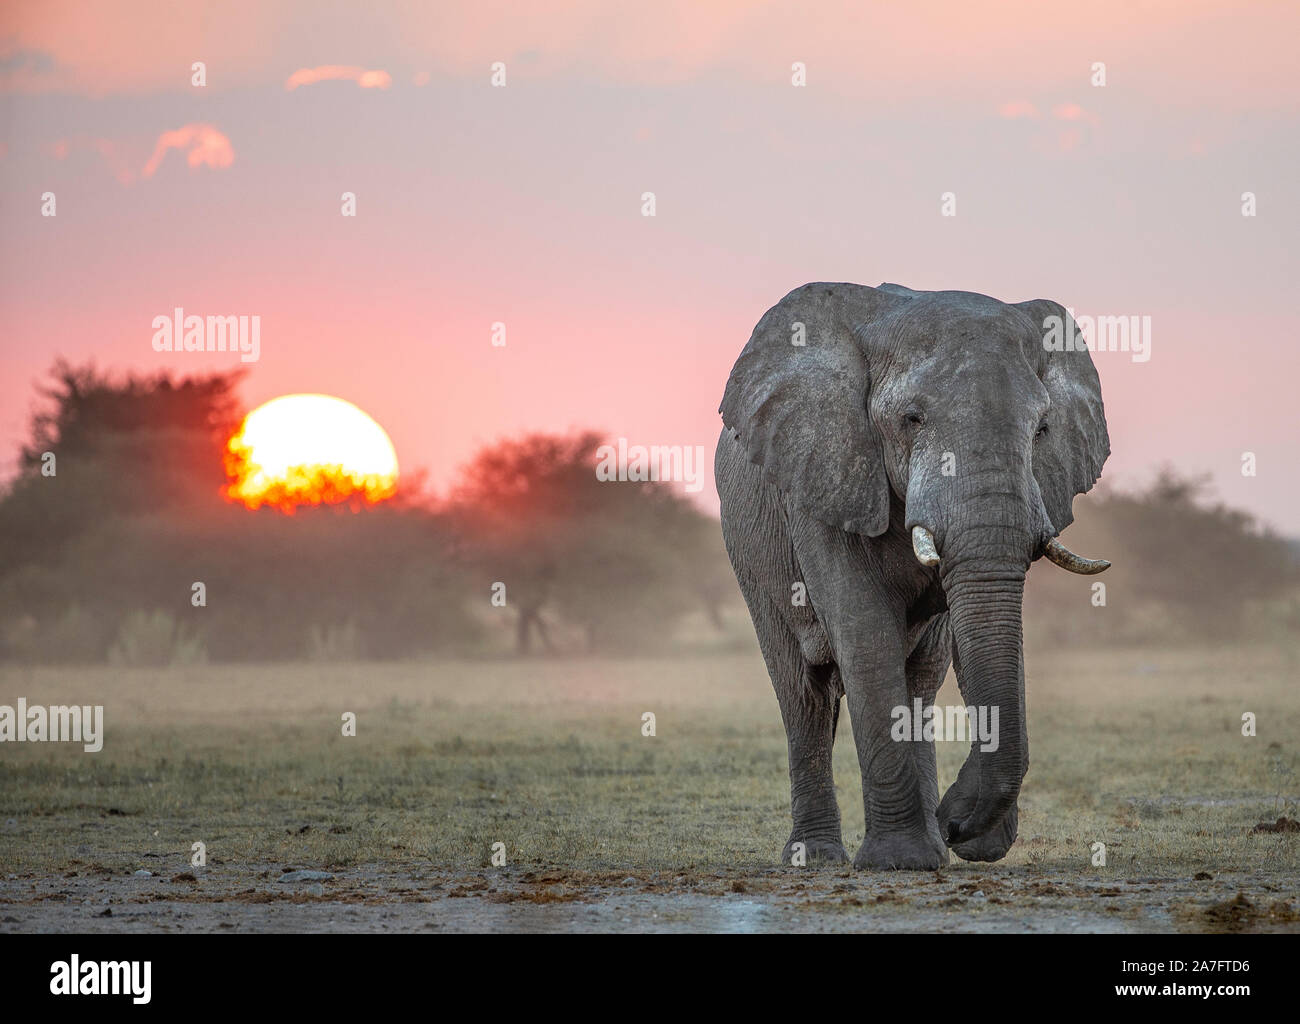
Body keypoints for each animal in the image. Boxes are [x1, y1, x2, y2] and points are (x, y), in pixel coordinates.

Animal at [715, 282, 1110, 870]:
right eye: (911, 419)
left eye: (1042, 429)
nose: (956, 824)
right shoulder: (826, 475)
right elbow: (864, 631)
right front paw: (897, 861)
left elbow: (977, 637)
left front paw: (958, 840)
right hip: (750, 552)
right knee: (803, 693)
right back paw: (819, 857)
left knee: (922, 677)